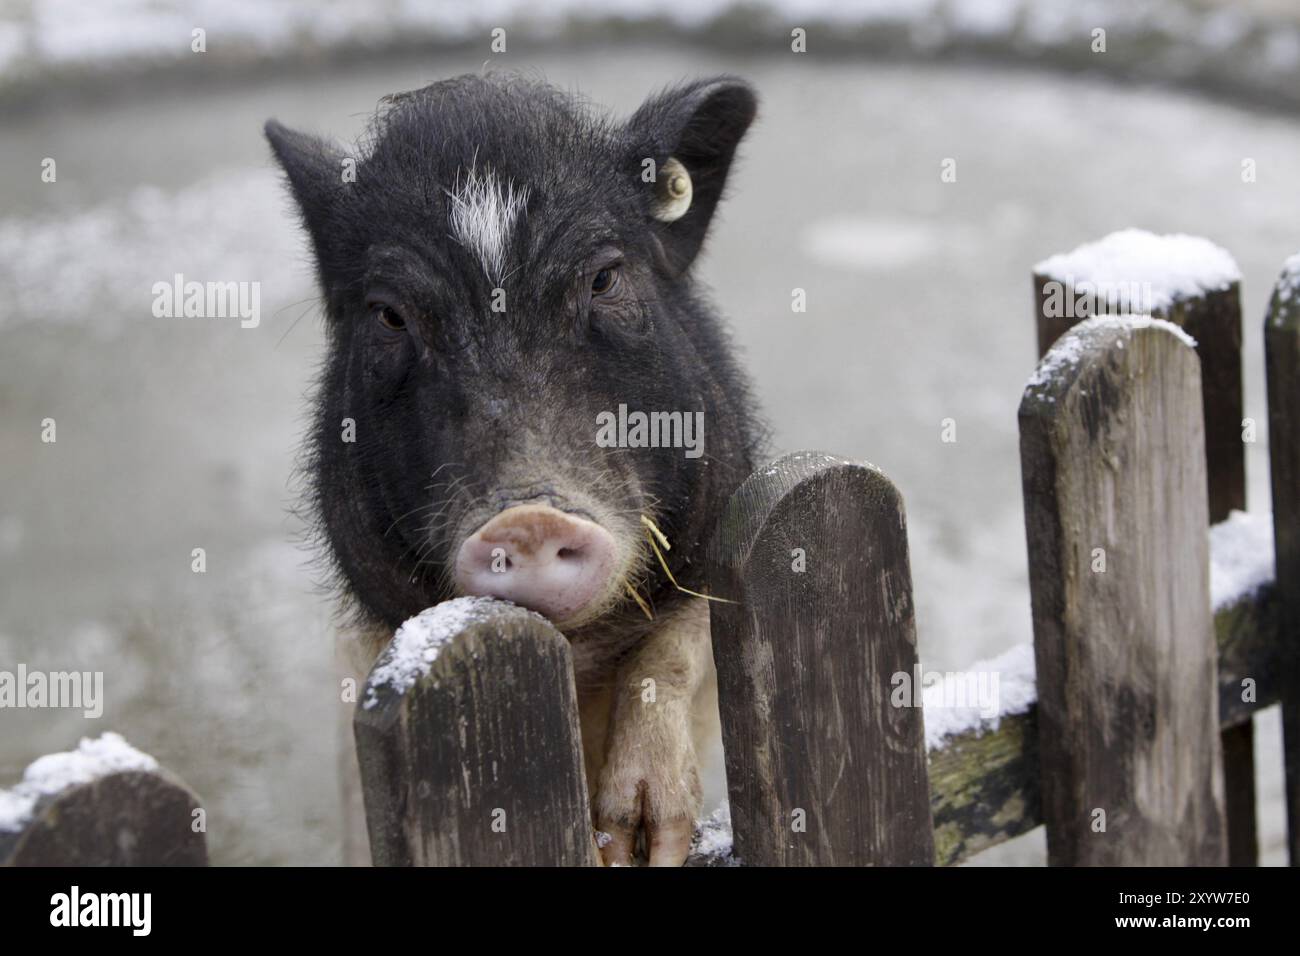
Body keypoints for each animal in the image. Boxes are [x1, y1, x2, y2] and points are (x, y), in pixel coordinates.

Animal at [265, 72, 760, 866]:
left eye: (604, 278)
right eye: (390, 315)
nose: (529, 519)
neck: (577, 657)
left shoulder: (716, 522)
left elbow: (674, 651)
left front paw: (643, 841)